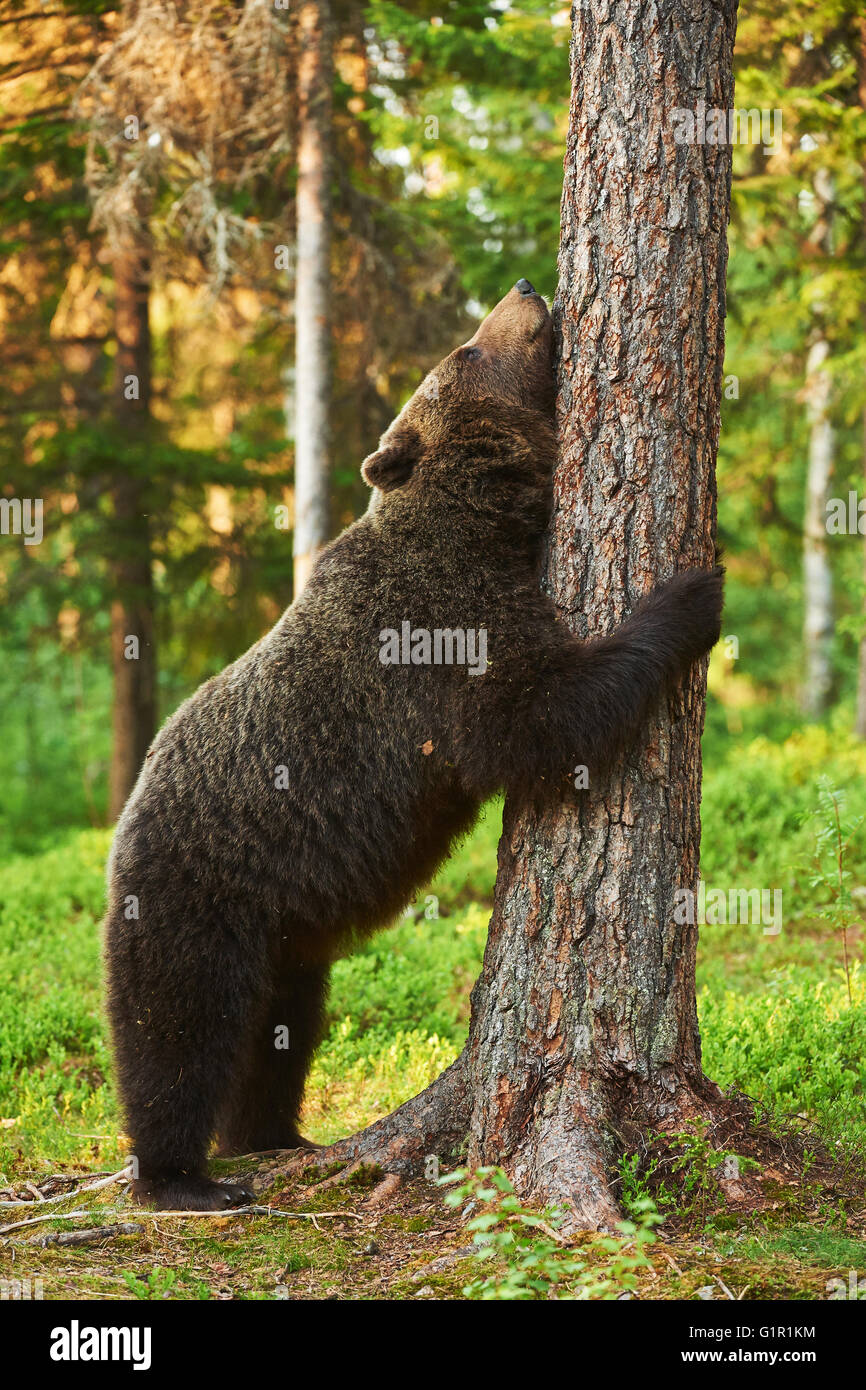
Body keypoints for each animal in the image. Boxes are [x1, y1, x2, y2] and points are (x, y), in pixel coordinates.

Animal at [104, 278, 724, 1209]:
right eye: (465, 350)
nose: (525, 288)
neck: (474, 524)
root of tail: (126, 814)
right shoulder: (439, 630)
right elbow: (540, 721)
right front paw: (691, 595)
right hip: (193, 891)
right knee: (177, 1029)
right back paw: (183, 1176)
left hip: (284, 930)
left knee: (281, 1028)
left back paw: (275, 1134)